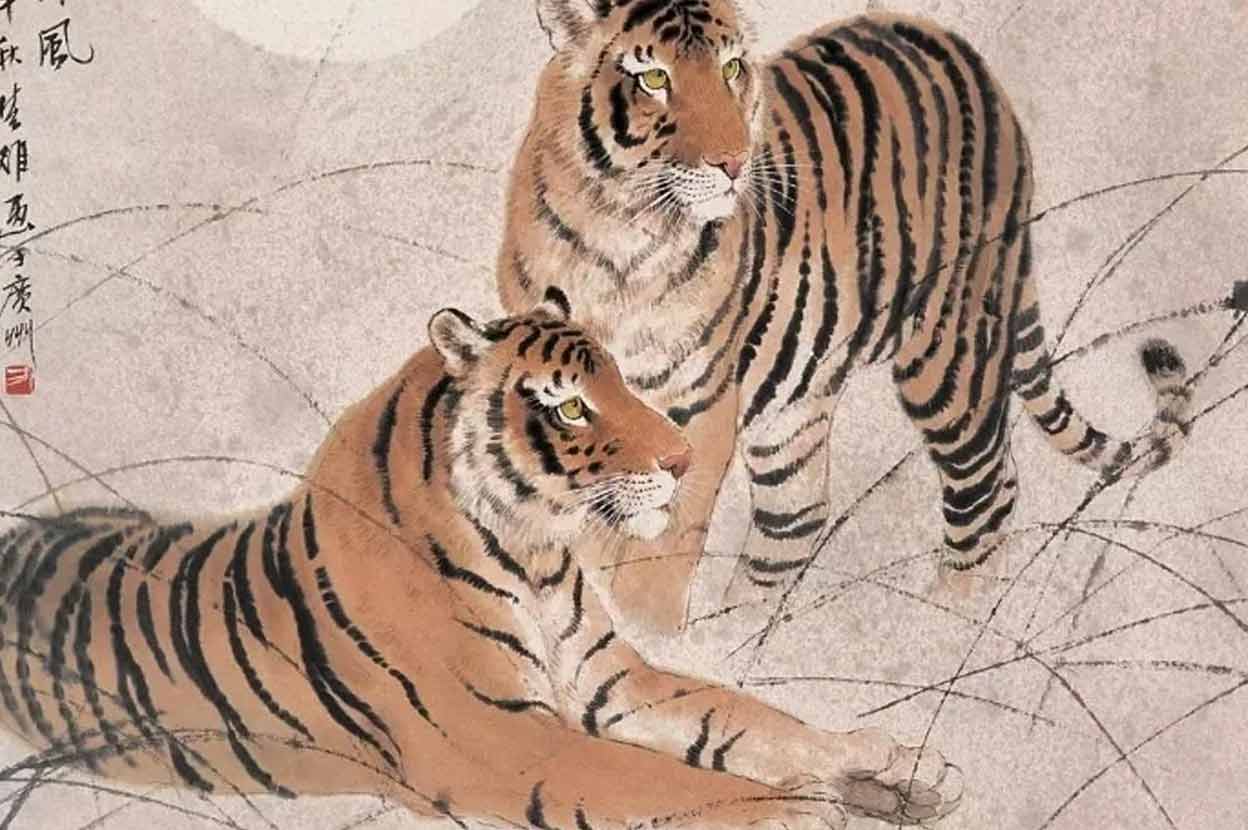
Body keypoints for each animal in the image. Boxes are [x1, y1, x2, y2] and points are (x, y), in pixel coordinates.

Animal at [0, 292, 961, 828]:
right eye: (572, 406)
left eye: (622, 377)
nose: (686, 461)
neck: (531, 549)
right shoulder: (496, 736)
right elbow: (669, 781)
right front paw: (807, 810)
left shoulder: (611, 678)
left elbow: (748, 719)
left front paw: (888, 767)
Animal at [497, 0, 1199, 631]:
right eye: (653, 79)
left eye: (731, 69)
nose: (733, 162)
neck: (620, 239)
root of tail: (974, 67)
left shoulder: (696, 405)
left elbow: (658, 552)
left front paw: (651, 635)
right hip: (794, 409)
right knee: (796, 521)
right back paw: (740, 644)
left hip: (949, 360)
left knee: (987, 493)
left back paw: (947, 637)